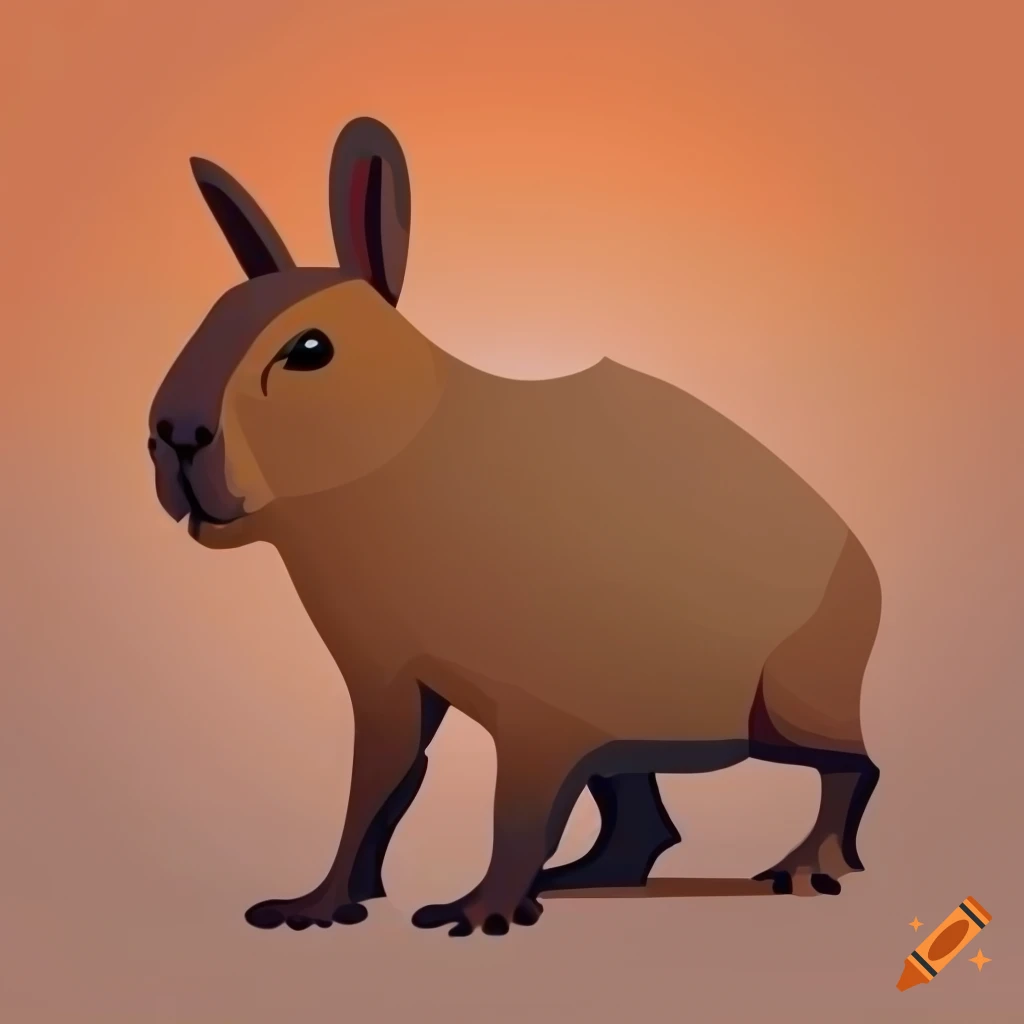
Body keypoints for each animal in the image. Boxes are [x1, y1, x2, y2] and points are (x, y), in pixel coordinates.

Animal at [149, 115, 882, 937]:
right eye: (212, 316)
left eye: (310, 350)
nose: (175, 435)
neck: (402, 454)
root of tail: (867, 568)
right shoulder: (388, 685)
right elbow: (375, 793)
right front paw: (312, 909)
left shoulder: (538, 715)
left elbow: (516, 812)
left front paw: (477, 915)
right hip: (631, 717)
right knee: (643, 815)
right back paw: (585, 880)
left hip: (791, 701)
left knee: (851, 767)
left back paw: (806, 869)